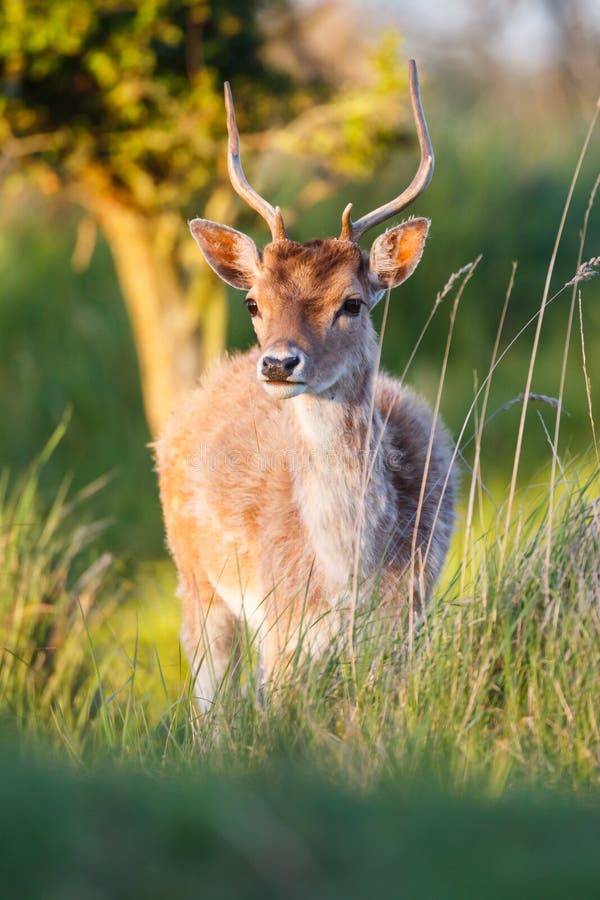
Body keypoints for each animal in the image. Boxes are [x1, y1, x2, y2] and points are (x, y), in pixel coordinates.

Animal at [155, 60, 456, 712]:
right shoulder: (282, 626)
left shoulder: (407, 617)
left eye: (353, 302)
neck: (347, 577)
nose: (277, 363)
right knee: (210, 700)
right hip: (194, 577)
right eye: (253, 302)